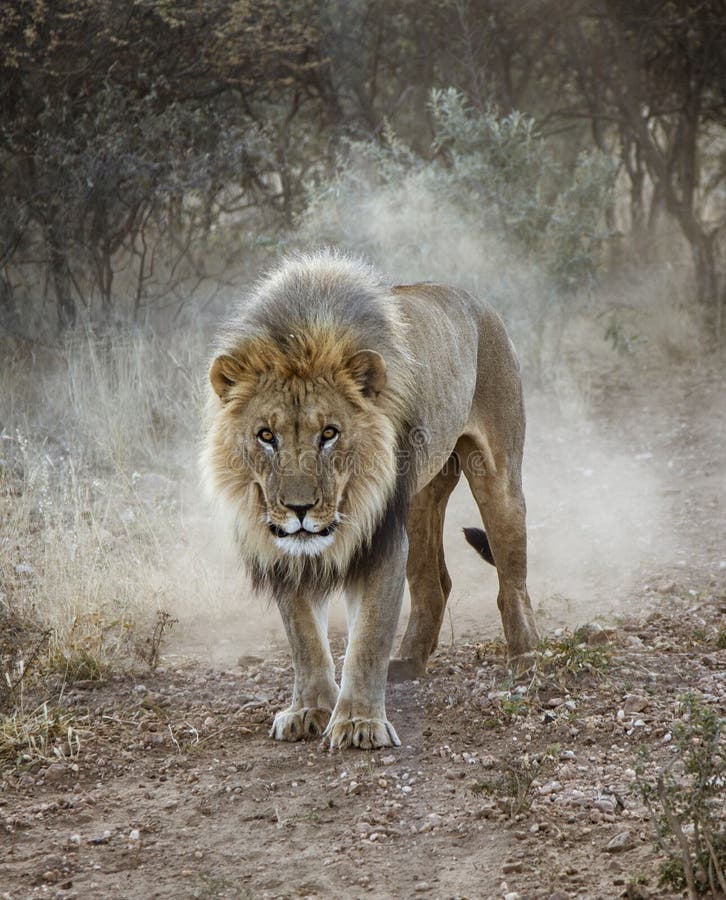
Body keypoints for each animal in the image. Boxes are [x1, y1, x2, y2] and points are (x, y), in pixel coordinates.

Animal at [202, 250, 539, 749]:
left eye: (329, 433)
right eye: (266, 436)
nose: (299, 509)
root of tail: (477, 302)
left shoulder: (381, 539)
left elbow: (368, 637)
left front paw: (359, 723)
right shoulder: (285, 548)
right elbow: (304, 635)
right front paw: (308, 710)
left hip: (498, 474)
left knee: (512, 579)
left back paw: (526, 657)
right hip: (418, 500)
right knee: (434, 584)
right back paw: (409, 664)